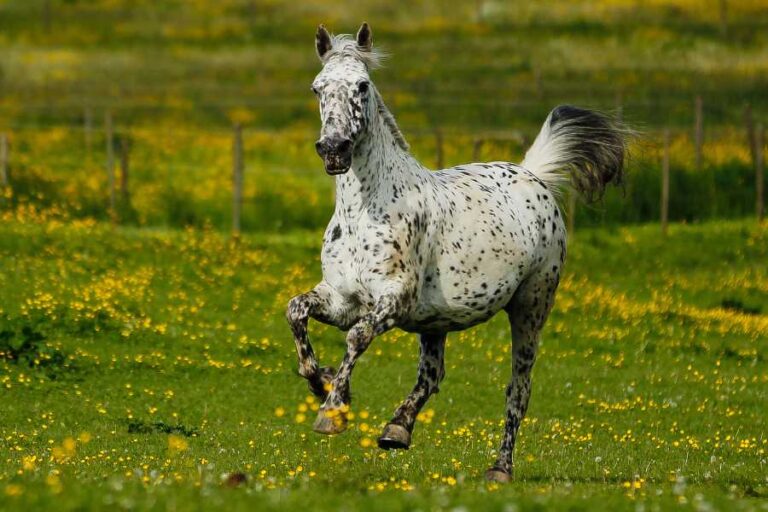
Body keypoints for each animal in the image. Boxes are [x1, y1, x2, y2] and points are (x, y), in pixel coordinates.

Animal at [286, 22, 627, 482]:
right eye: (317, 88)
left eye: (362, 85)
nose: (334, 149)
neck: (365, 212)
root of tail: (532, 174)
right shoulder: (341, 299)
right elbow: (297, 310)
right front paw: (320, 380)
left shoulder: (393, 300)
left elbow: (357, 336)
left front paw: (332, 410)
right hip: (436, 320)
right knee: (432, 376)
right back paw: (396, 429)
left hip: (531, 307)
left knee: (518, 390)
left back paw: (499, 468)